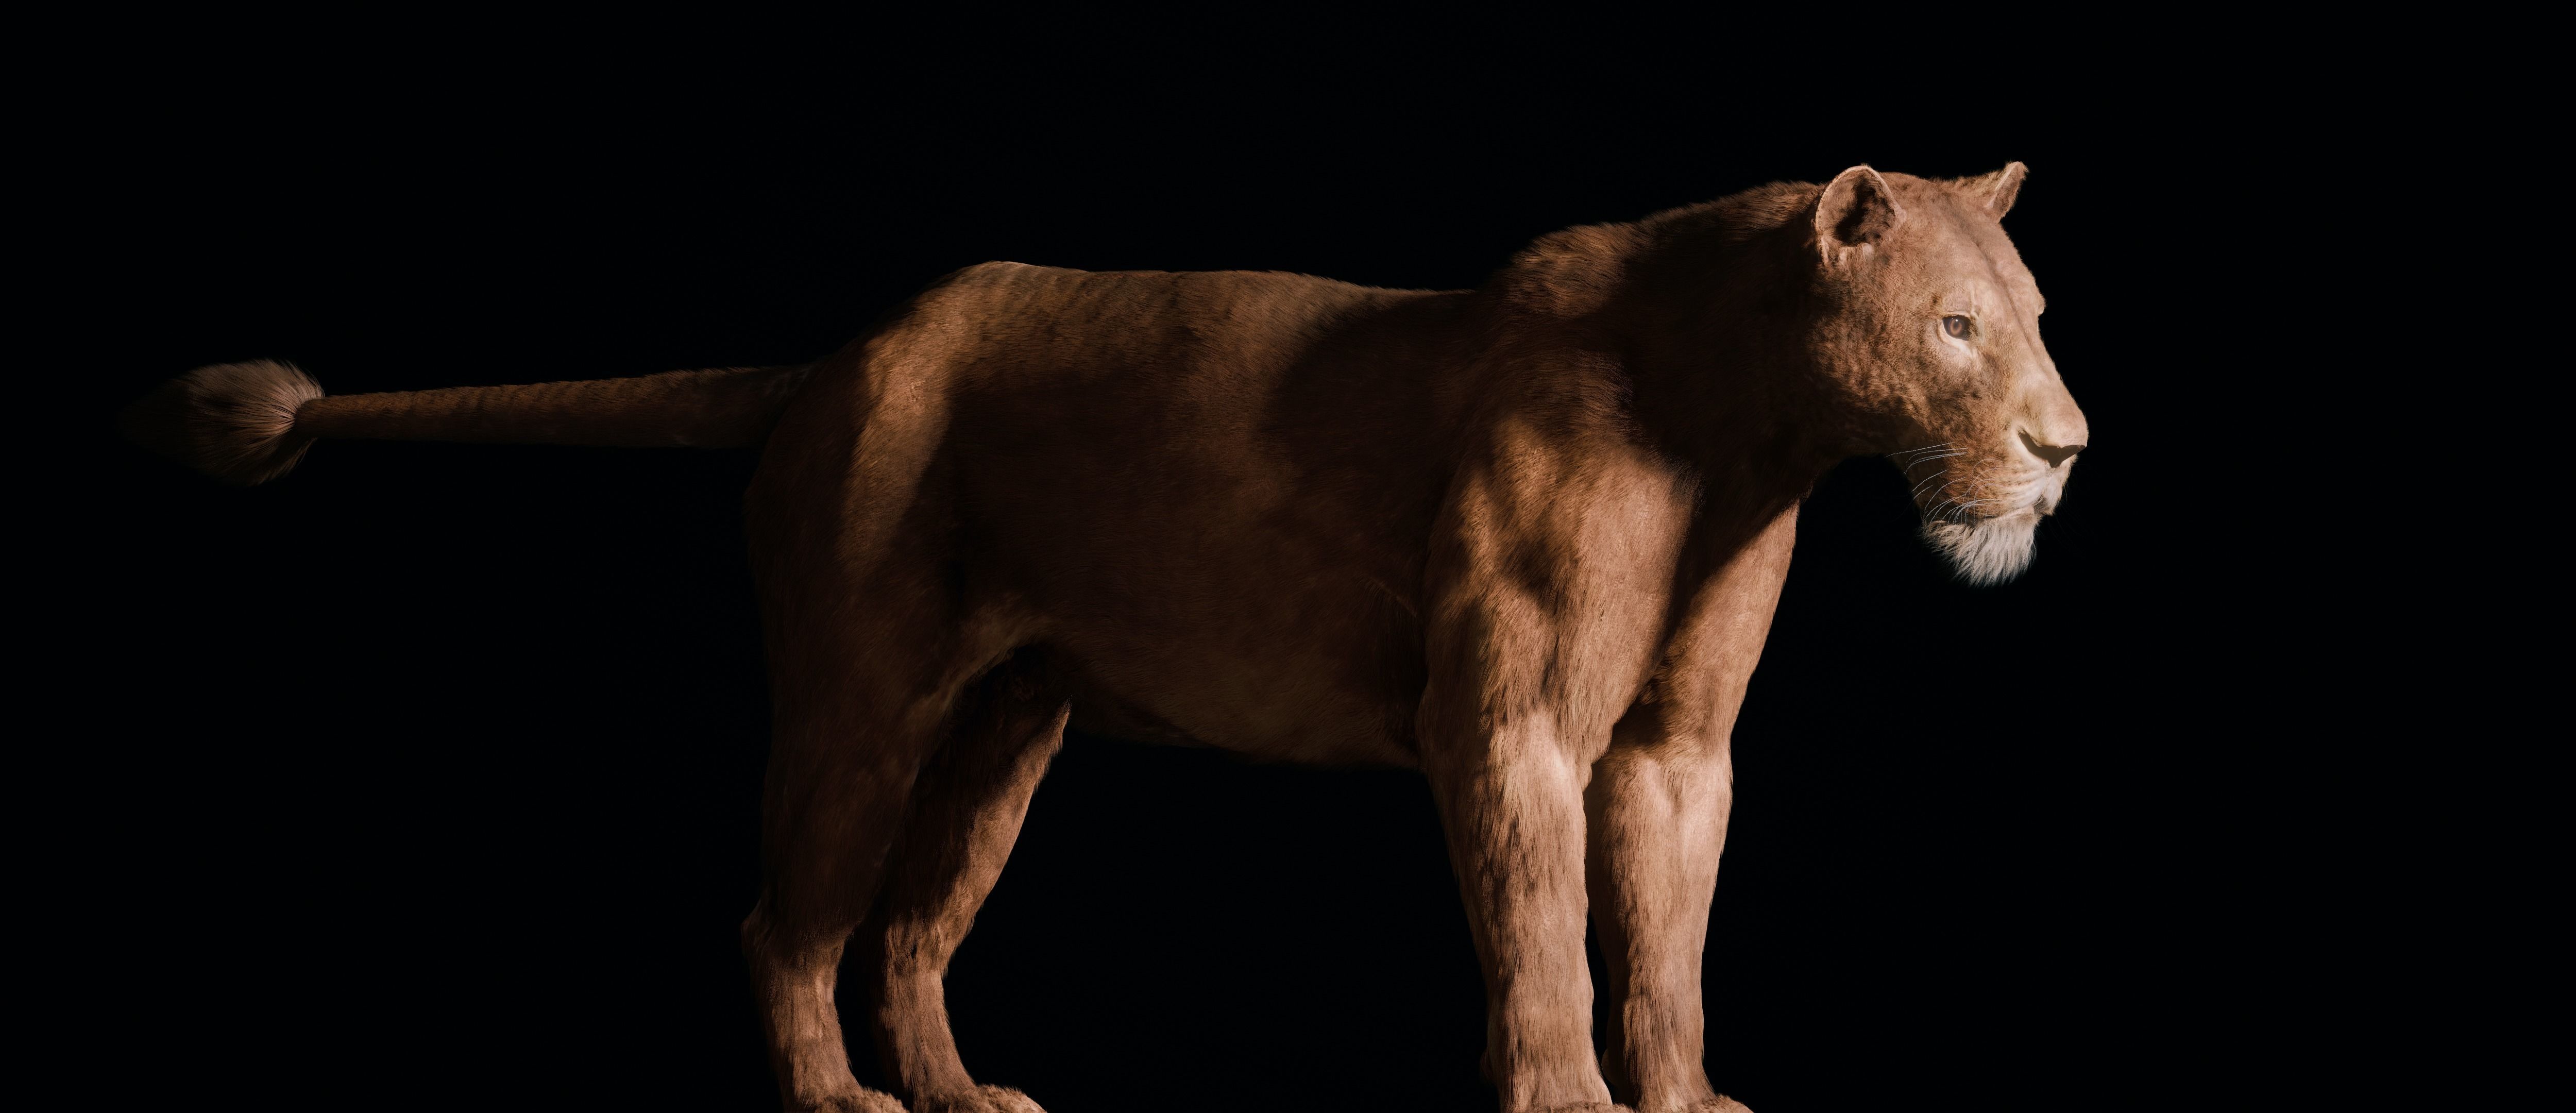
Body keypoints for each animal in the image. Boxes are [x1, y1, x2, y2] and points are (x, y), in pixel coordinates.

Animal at [127, 163, 2087, 1113]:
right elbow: (1541, 934)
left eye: (2038, 316)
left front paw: (1678, 1102)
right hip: (862, 698)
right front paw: (1564, 1102)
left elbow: (1665, 946)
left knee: (909, 932)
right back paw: (839, 1107)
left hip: (1005, 735)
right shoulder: (1510, 722)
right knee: (788, 921)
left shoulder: (1673, 751)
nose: (2068, 446)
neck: (1746, 438)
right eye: (1958, 326)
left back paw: (957, 1099)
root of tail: (843, 355)